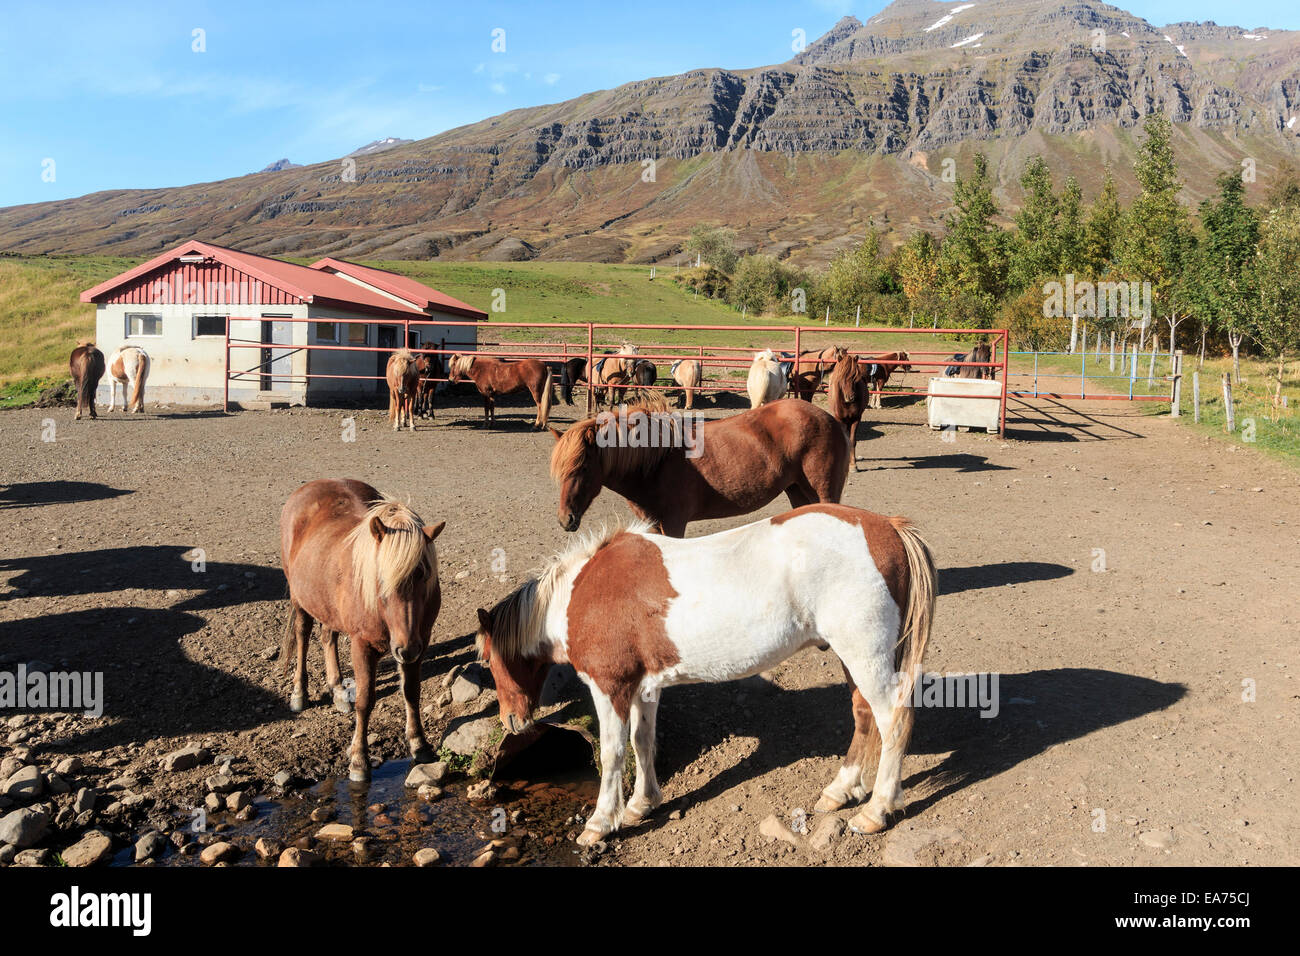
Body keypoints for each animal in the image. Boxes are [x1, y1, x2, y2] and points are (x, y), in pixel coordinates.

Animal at [279, 478, 445, 782]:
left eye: (424, 575)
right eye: (381, 579)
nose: (405, 648)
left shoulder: (420, 642)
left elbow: (412, 692)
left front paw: (420, 745)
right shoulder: (362, 646)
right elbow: (365, 701)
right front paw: (358, 760)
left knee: (328, 636)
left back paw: (337, 689)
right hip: (300, 600)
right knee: (303, 635)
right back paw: (299, 693)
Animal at [475, 502, 937, 844]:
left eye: (489, 662)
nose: (511, 721)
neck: (584, 592)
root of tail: (887, 527)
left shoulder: (611, 687)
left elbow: (612, 753)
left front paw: (600, 823)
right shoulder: (645, 688)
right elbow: (643, 742)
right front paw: (642, 803)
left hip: (865, 656)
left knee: (894, 720)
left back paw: (875, 811)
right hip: (854, 657)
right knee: (864, 715)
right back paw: (840, 792)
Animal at [549, 397, 850, 537]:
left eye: (583, 469)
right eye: (560, 474)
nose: (565, 519)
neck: (656, 461)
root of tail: (830, 420)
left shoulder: (674, 523)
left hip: (823, 492)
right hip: (797, 490)